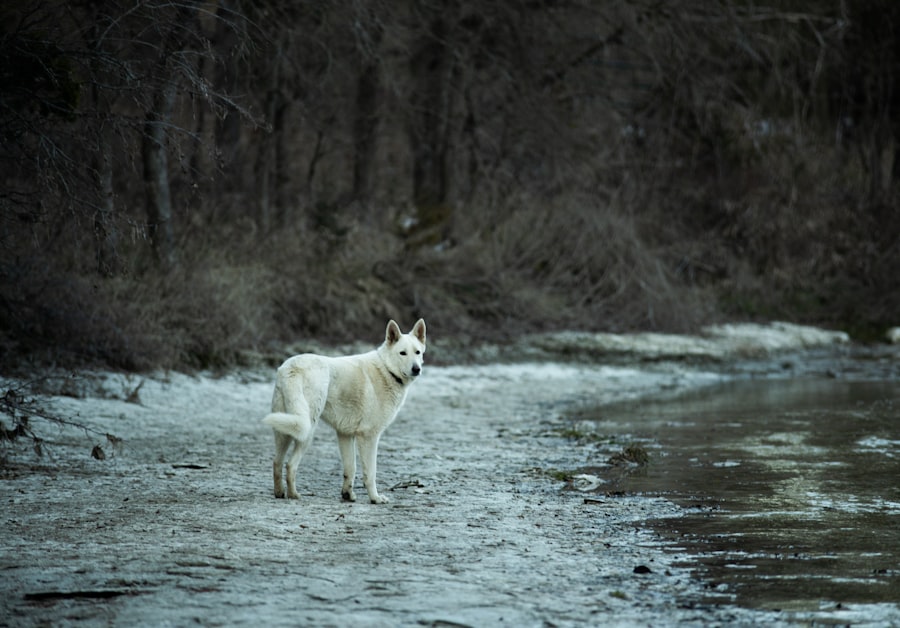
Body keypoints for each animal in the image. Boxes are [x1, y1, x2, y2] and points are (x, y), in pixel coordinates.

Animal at [262, 319, 426, 503]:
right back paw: (294, 494)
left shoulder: (345, 435)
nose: (416, 369)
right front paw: (375, 498)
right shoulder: (369, 437)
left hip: (284, 429)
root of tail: (291, 368)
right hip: (307, 430)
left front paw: (347, 495)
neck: (387, 370)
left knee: (277, 462)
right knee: (290, 465)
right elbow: (370, 473)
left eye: (417, 352)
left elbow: (350, 469)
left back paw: (279, 492)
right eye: (402, 353)